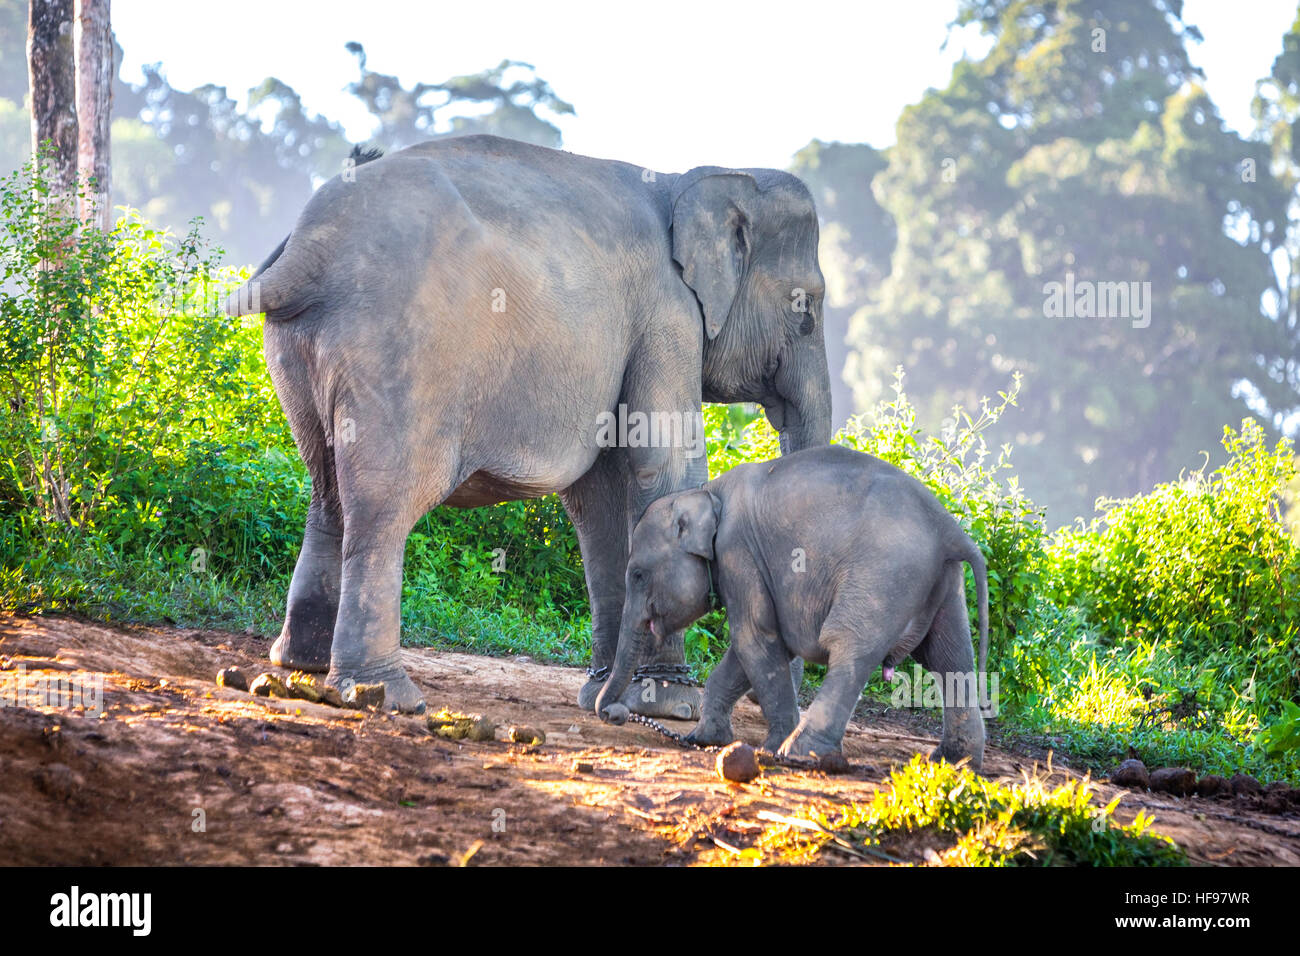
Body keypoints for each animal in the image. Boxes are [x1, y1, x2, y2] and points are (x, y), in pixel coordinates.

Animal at [224, 136, 833, 714]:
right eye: (806, 308)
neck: (688, 177)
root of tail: (308, 248)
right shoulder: (669, 312)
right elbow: (663, 466)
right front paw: (671, 704)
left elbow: (598, 496)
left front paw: (604, 695)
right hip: (392, 348)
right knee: (383, 503)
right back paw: (384, 695)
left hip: (298, 347)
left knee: (326, 488)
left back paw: (301, 667)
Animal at [595, 445, 989, 769]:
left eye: (638, 575)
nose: (616, 713)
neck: (707, 493)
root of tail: (950, 530)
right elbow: (751, 652)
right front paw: (704, 739)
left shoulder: (739, 553)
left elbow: (756, 640)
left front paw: (768, 748)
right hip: (942, 582)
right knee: (950, 657)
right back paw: (953, 761)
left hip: (883, 576)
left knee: (850, 648)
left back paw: (799, 753)